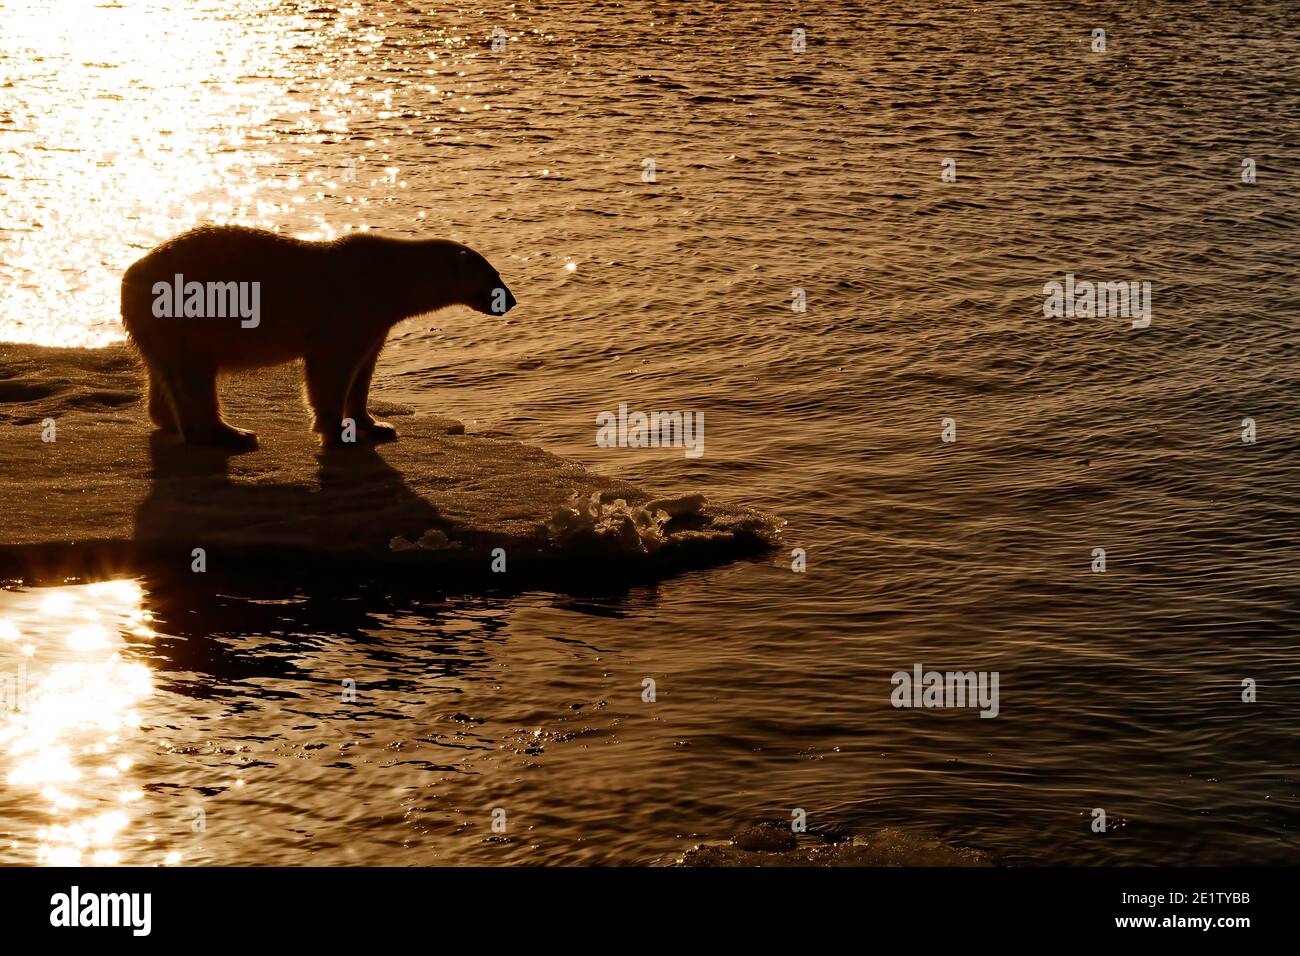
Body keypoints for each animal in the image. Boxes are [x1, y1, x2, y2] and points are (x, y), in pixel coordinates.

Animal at [120, 225, 516, 449]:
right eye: (494, 275)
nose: (511, 301)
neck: (390, 274)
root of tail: (128, 278)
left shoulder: (376, 323)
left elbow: (363, 371)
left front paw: (376, 425)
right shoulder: (347, 311)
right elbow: (332, 369)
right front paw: (335, 431)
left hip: (160, 328)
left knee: (166, 374)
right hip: (186, 316)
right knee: (193, 376)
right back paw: (230, 434)